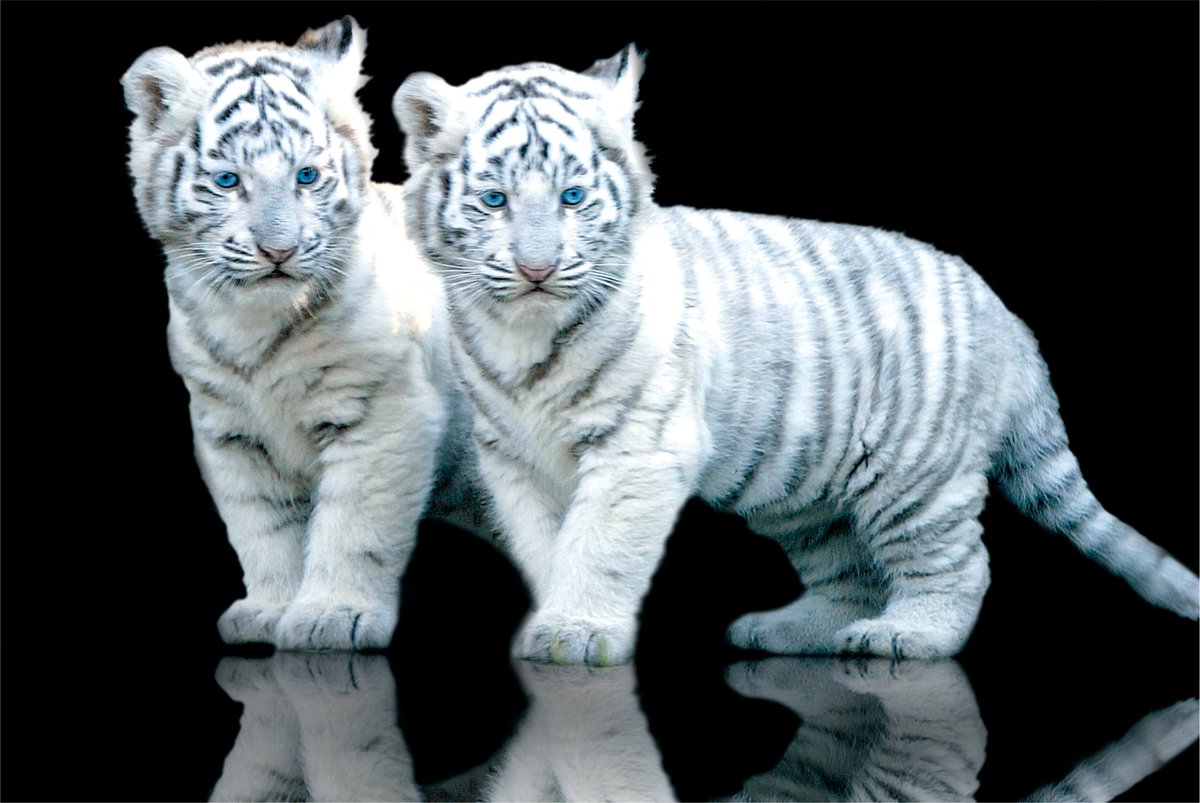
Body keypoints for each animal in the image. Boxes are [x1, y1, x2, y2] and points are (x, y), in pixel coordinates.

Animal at [122, 17, 483, 651]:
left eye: (307, 177)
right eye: (227, 181)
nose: (278, 251)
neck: (254, 327)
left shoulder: (383, 411)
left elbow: (353, 520)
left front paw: (333, 617)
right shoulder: (228, 430)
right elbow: (261, 527)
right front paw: (268, 610)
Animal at [391, 45, 1200, 665]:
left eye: (573, 198)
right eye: (494, 201)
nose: (537, 269)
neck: (521, 333)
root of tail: (1007, 319)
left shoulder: (638, 447)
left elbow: (599, 543)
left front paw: (578, 631)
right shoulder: (514, 456)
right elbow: (545, 543)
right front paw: (554, 620)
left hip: (917, 475)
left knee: (958, 564)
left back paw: (907, 636)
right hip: (805, 491)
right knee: (847, 572)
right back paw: (787, 631)